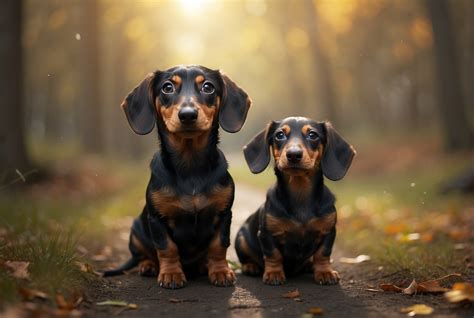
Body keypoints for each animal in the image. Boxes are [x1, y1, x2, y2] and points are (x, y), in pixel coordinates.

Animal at [103, 64, 252, 288]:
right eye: (167, 87)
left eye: (208, 87)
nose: (188, 115)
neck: (190, 165)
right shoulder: (157, 218)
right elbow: (167, 248)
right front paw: (171, 274)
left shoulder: (224, 214)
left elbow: (218, 246)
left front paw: (220, 271)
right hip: (136, 230)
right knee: (144, 254)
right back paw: (148, 266)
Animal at [235, 117, 354, 286]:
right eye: (279, 135)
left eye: (312, 135)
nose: (293, 154)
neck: (300, 191)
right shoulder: (266, 234)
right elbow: (273, 255)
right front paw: (274, 273)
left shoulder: (329, 231)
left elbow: (323, 254)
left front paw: (325, 272)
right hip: (241, 238)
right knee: (246, 258)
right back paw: (251, 266)